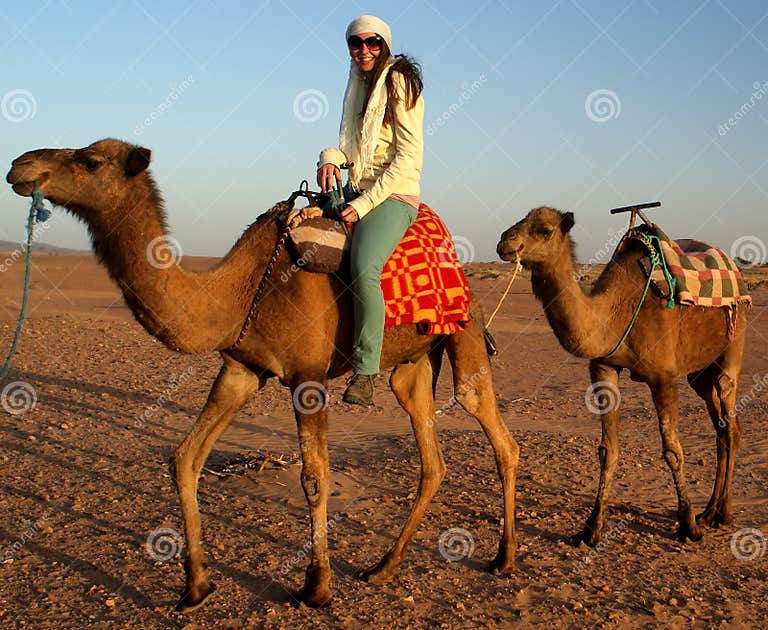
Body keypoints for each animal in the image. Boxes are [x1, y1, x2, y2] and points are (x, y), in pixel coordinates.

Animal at [6, 138, 519, 612]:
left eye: (90, 160)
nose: (19, 165)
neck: (242, 289)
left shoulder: (308, 377)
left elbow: (315, 477)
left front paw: (316, 587)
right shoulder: (241, 369)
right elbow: (185, 459)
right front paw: (195, 585)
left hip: (465, 335)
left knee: (496, 433)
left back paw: (504, 558)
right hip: (412, 365)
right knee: (431, 458)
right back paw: (383, 567)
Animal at [497, 207, 746, 546]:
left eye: (545, 230)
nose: (504, 242)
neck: (613, 315)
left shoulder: (663, 376)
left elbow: (673, 451)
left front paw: (687, 525)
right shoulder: (603, 368)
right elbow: (607, 450)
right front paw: (591, 528)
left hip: (734, 341)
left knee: (731, 424)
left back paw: (723, 513)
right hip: (699, 372)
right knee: (719, 425)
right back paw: (708, 511)